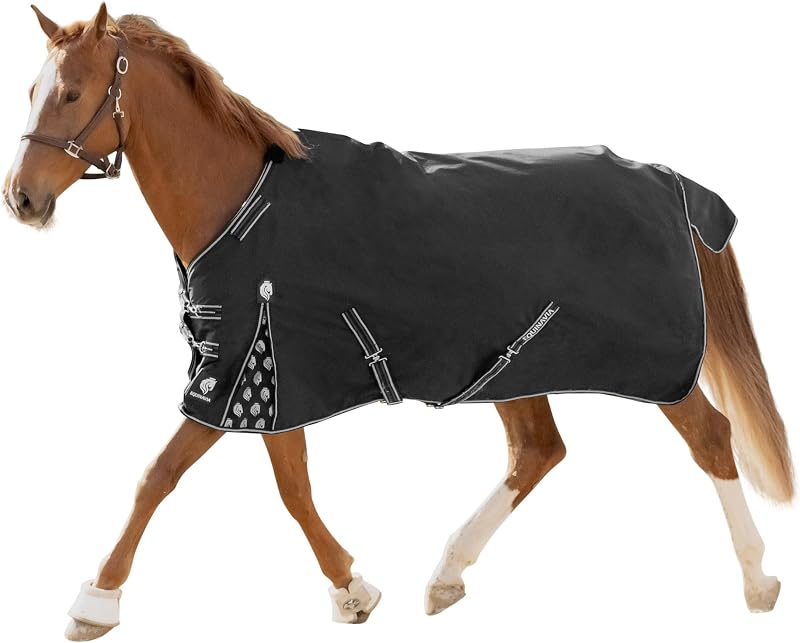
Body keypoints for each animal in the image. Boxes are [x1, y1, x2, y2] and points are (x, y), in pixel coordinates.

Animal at [3, 5, 793, 641]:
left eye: (72, 92)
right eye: (33, 90)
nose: (23, 199)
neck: (242, 203)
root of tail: (667, 179)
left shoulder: (240, 371)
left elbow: (162, 475)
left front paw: (94, 602)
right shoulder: (267, 377)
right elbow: (284, 486)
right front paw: (351, 590)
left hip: (657, 369)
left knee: (711, 437)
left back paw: (758, 580)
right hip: (510, 366)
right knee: (537, 451)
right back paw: (447, 574)